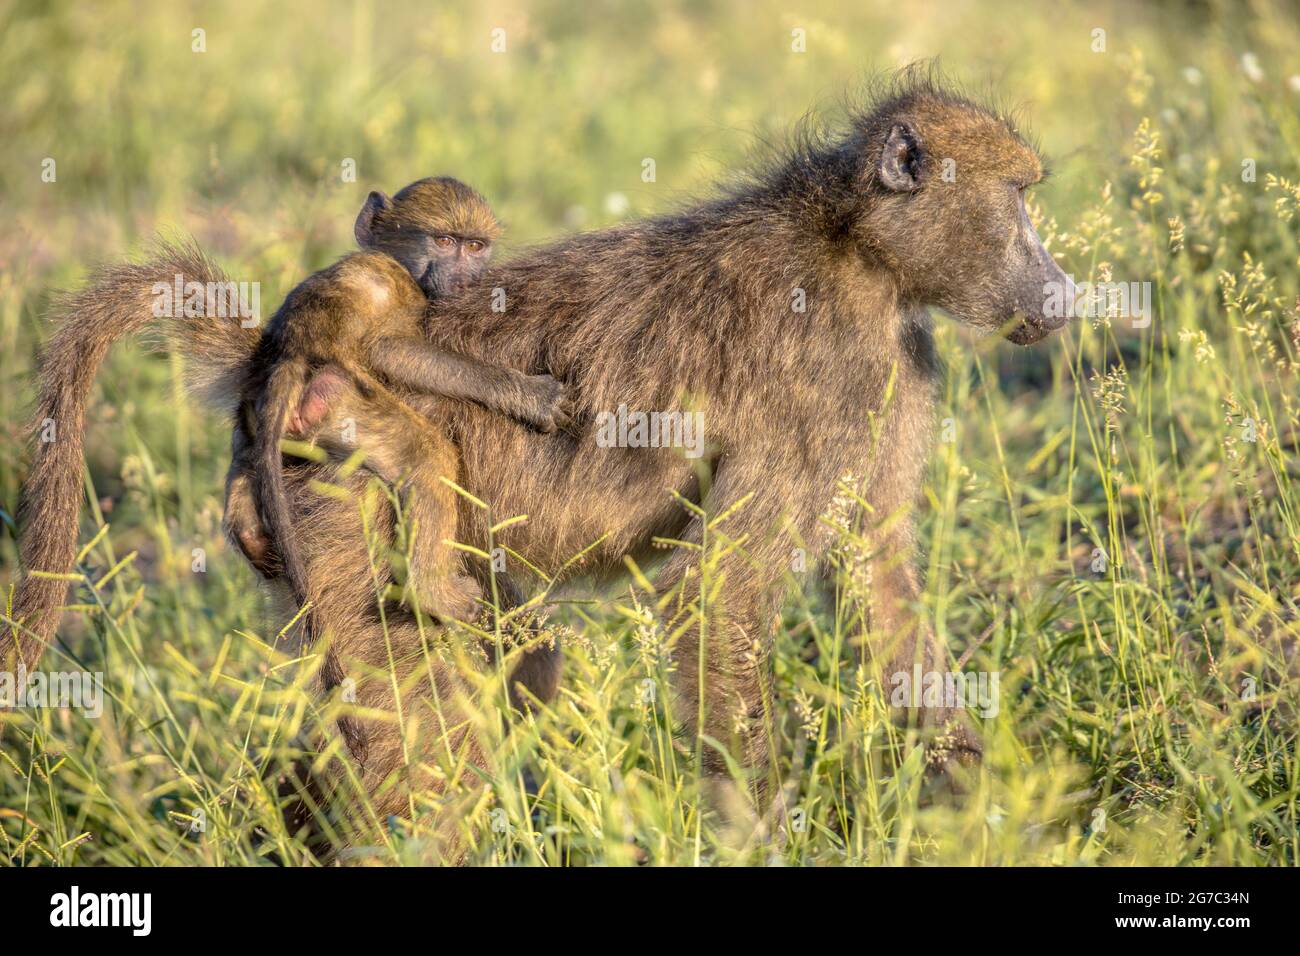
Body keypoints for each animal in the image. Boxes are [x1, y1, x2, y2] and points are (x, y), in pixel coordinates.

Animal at [6, 70, 1073, 837]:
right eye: (1019, 200)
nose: (1061, 290)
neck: (861, 252)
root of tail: (285, 352)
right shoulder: (830, 379)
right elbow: (716, 595)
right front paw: (760, 835)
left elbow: (877, 575)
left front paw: (983, 810)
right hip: (344, 514)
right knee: (433, 744)